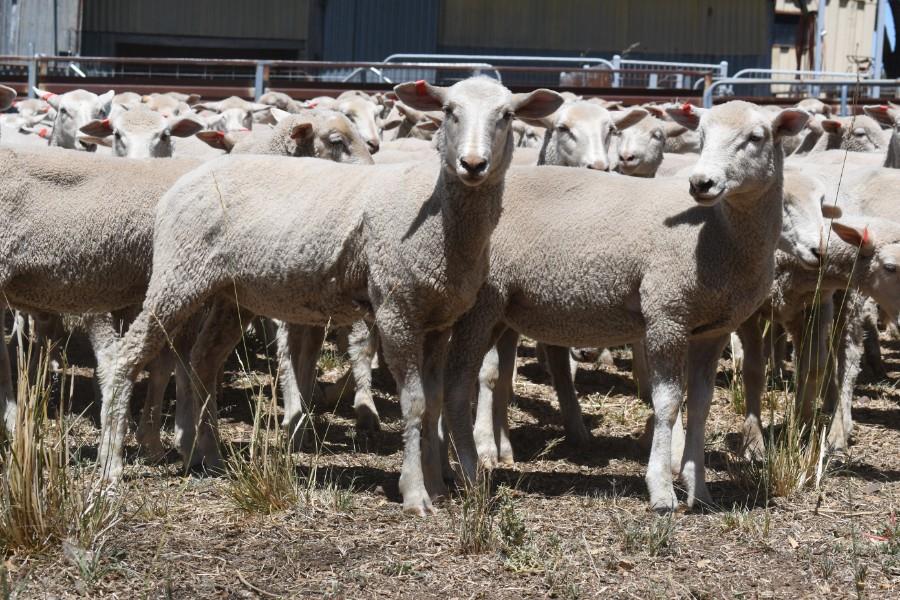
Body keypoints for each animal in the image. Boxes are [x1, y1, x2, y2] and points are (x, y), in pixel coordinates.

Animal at [96, 78, 562, 516]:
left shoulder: (437, 321)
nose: (473, 164)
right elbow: (414, 404)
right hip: (177, 279)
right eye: (449, 111)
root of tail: (183, 180)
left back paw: (208, 456)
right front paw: (415, 493)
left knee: (203, 361)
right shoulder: (396, 309)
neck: (442, 221)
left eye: (507, 115)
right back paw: (109, 470)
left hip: (230, 294)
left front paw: (439, 486)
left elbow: (434, 403)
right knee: (128, 357)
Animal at [442, 101, 808, 512]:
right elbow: (668, 404)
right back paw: (470, 474)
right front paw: (662, 490)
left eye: (756, 137)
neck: (715, 231)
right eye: (701, 136)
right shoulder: (667, 313)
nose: (701, 183)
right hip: (479, 305)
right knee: (456, 384)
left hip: (494, 311)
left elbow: (701, 405)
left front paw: (700, 490)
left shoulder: (711, 329)